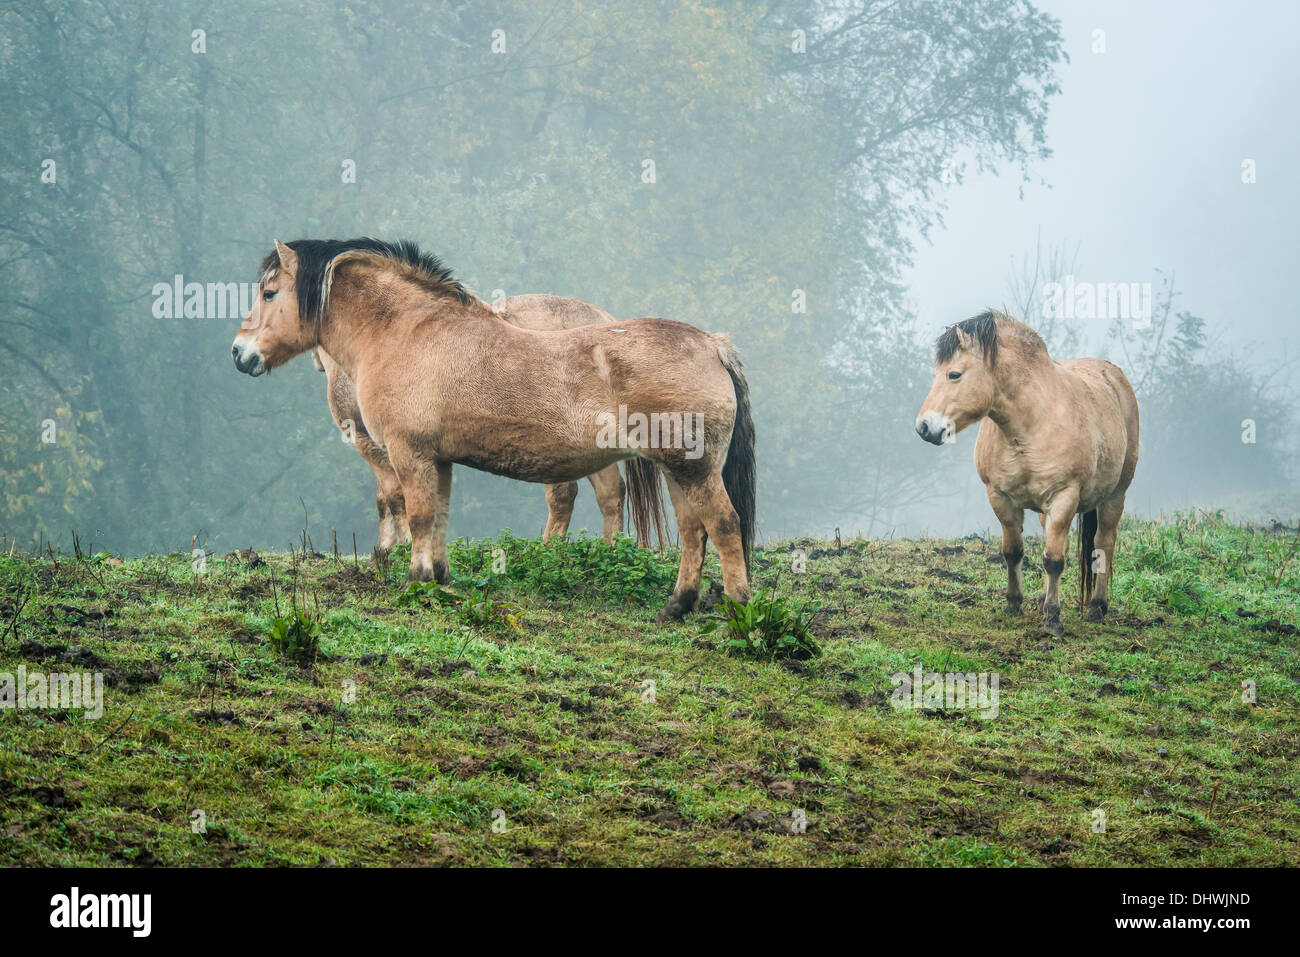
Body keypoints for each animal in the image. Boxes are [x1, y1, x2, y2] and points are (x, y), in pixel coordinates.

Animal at [309, 293, 661, 555]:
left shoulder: (374, 442)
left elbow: (394, 495)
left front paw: (395, 548)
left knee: (566, 494)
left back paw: (548, 550)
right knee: (611, 493)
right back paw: (610, 549)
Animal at [914, 310, 1139, 636]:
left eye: (954, 374)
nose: (924, 427)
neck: (1031, 423)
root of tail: (1114, 377)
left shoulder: (1064, 496)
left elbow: (1054, 561)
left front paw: (1053, 619)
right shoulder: (1000, 497)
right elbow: (1014, 552)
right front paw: (1013, 605)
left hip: (1114, 497)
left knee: (1103, 544)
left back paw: (1097, 607)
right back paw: (1044, 600)